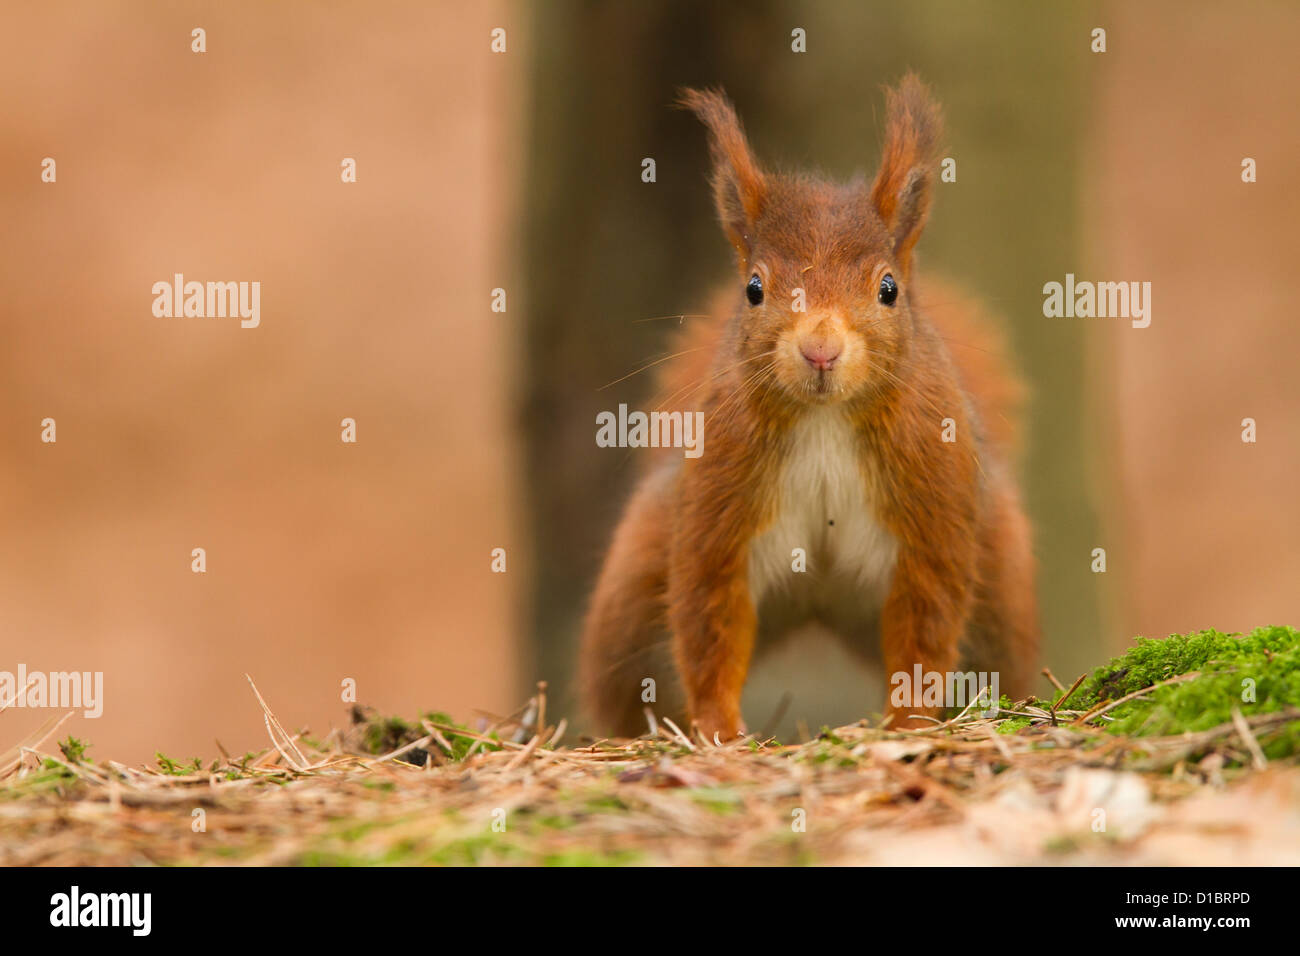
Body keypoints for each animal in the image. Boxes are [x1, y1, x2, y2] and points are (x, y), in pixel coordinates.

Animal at [579, 75, 1041, 740]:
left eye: (888, 289)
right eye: (753, 288)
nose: (820, 349)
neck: (825, 421)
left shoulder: (934, 508)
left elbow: (925, 629)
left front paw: (908, 723)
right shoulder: (718, 503)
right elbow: (707, 619)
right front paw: (719, 731)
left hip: (1002, 583)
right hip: (632, 592)